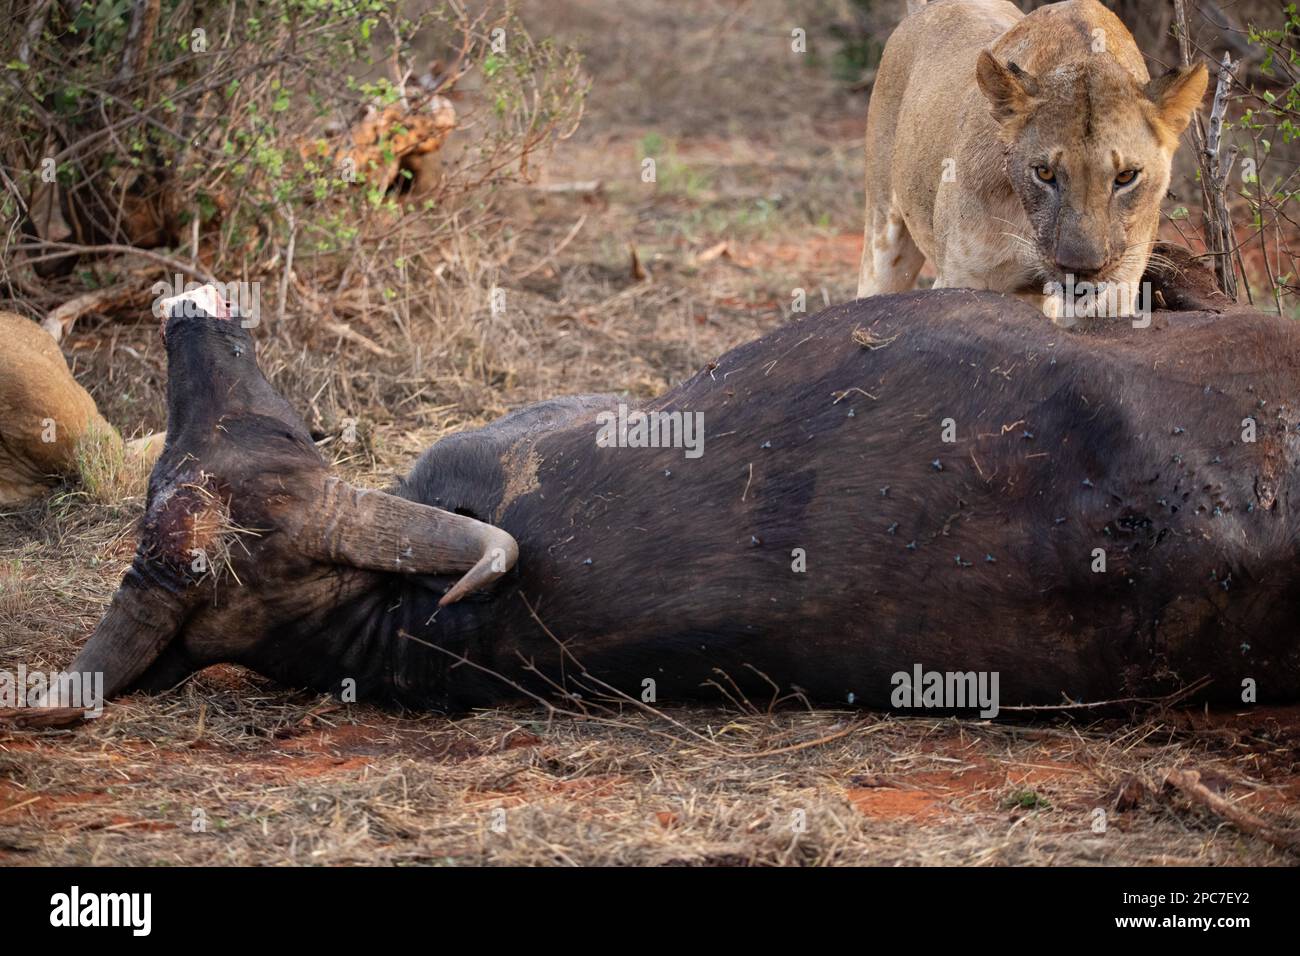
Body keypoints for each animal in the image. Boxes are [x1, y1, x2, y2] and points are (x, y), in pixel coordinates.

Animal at [857, 0, 1208, 320]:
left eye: (1126, 176)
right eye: (1044, 173)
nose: (1080, 269)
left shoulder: (1117, 292)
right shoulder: (961, 278)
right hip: (882, 239)